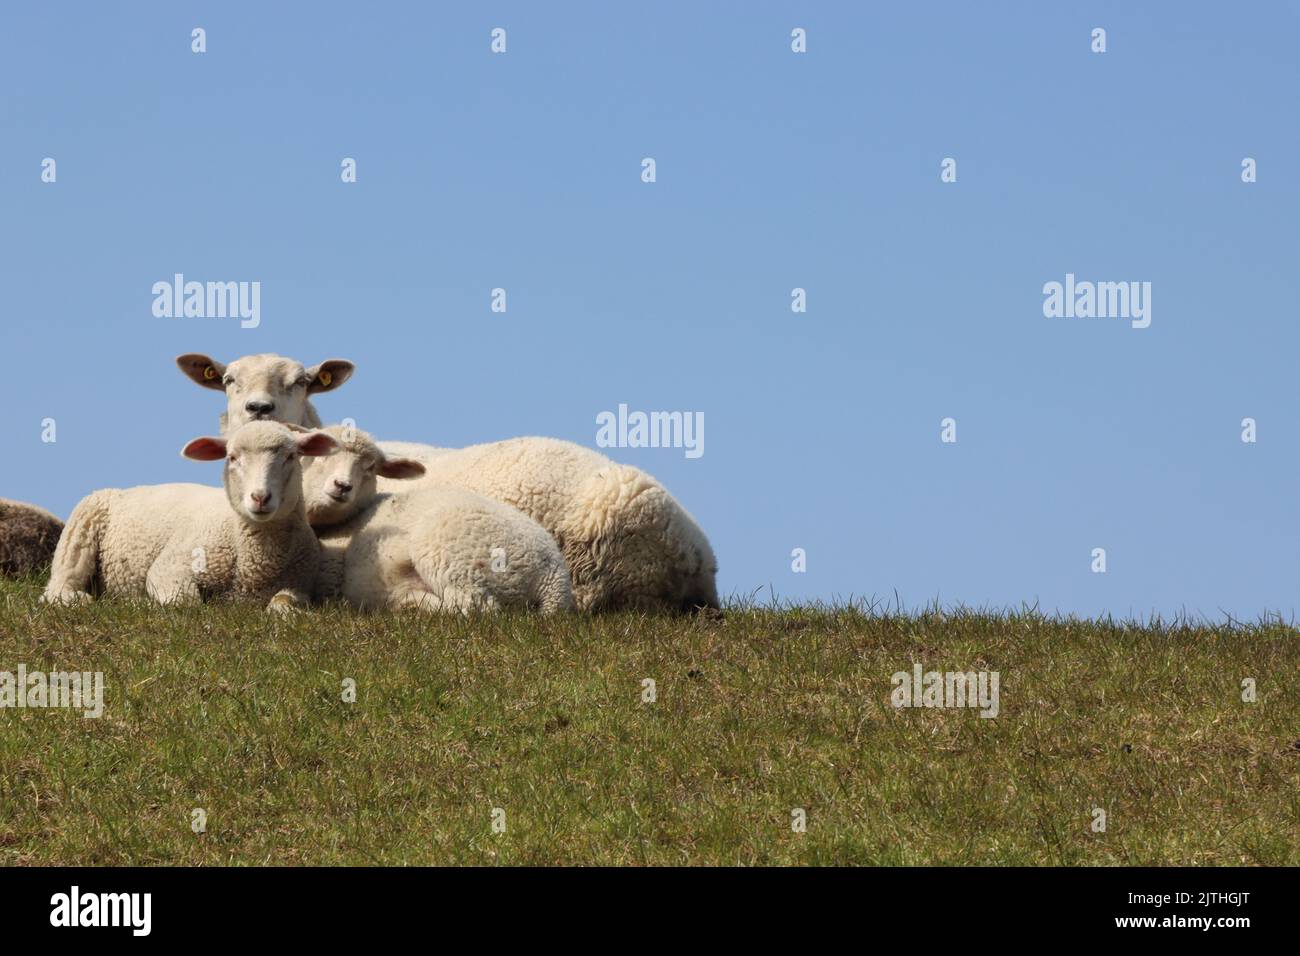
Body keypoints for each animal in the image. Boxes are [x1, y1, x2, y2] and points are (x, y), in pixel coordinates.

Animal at [42, 422, 339, 612]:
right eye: (232, 458)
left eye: (290, 456)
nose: (260, 498)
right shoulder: (171, 567)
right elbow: (186, 602)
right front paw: (141, 602)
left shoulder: (299, 584)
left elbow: (283, 604)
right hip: (81, 529)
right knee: (58, 585)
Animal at [301, 426, 575, 614]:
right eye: (321, 456)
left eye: (370, 468)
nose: (342, 486)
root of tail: (553, 579)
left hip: (450, 556)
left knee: (473, 606)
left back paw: (408, 604)